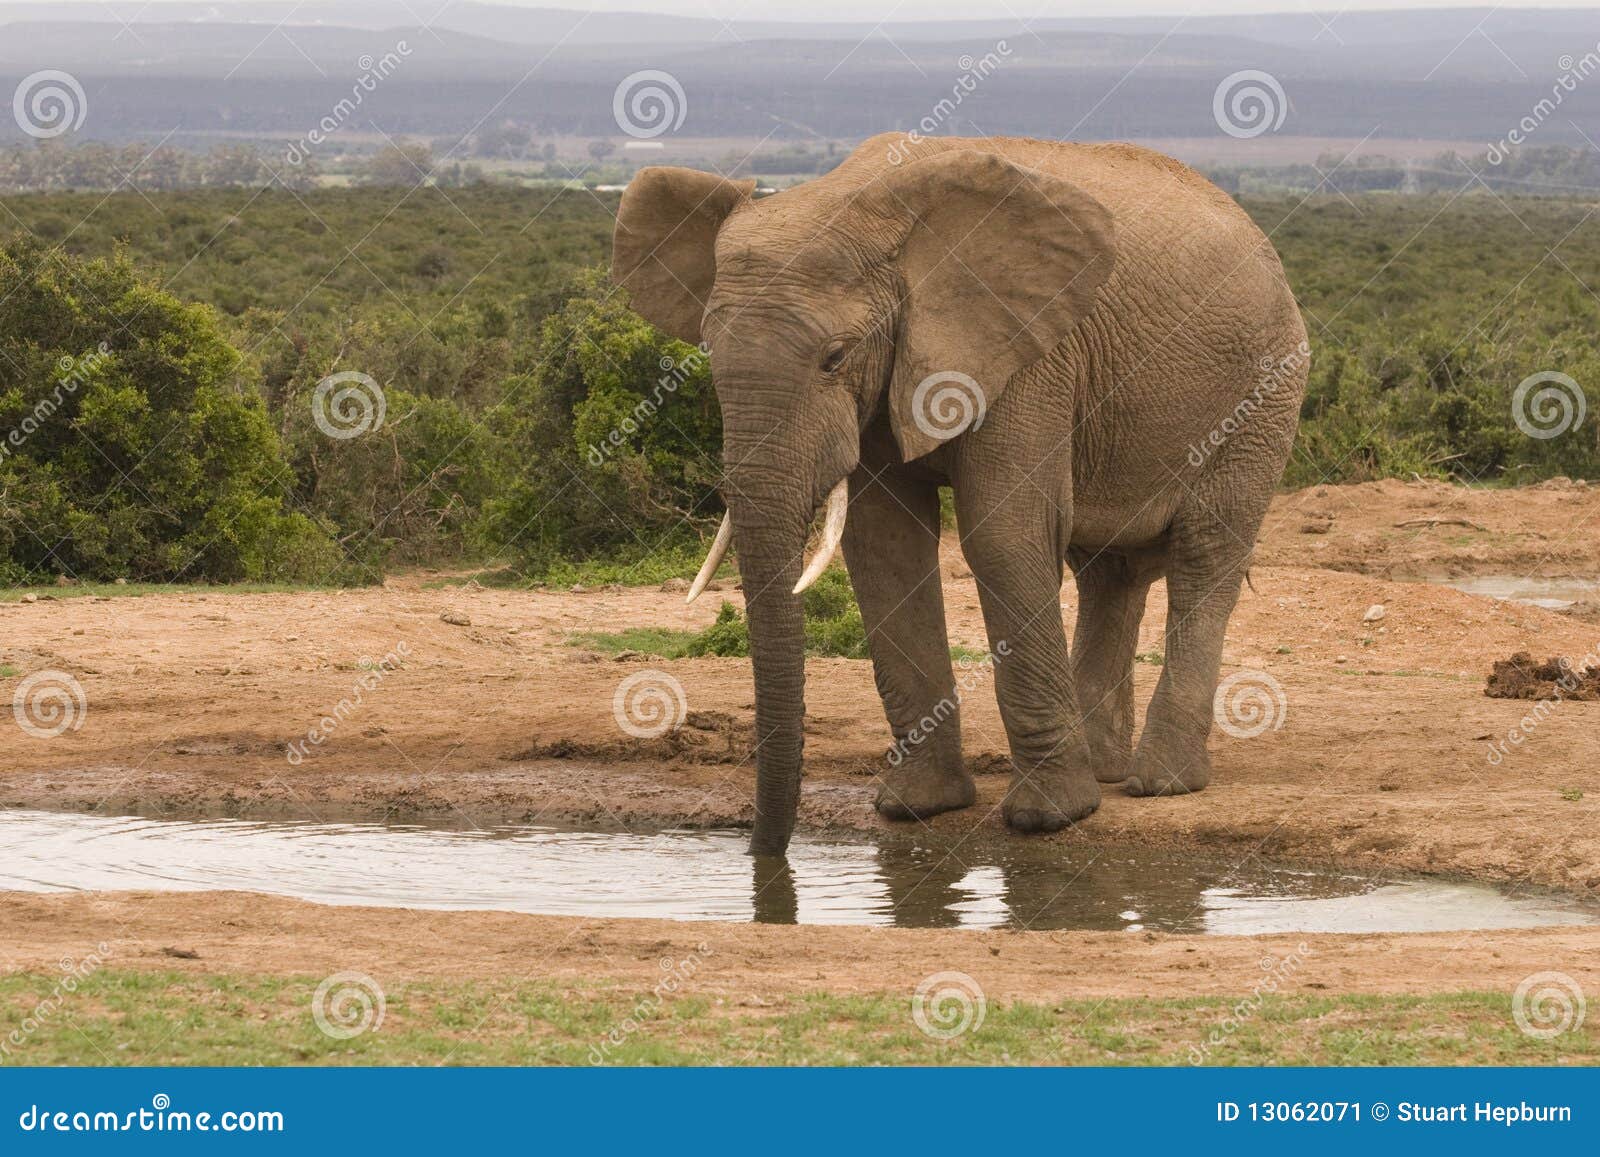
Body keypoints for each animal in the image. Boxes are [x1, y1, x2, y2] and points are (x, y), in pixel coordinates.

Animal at [612, 133, 1308, 856]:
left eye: (835, 357)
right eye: (706, 354)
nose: (764, 857)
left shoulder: (1025, 354)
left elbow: (1003, 533)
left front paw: (1048, 818)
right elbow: (885, 549)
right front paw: (918, 807)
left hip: (1264, 392)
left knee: (1206, 554)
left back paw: (1160, 783)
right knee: (1108, 572)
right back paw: (1107, 769)